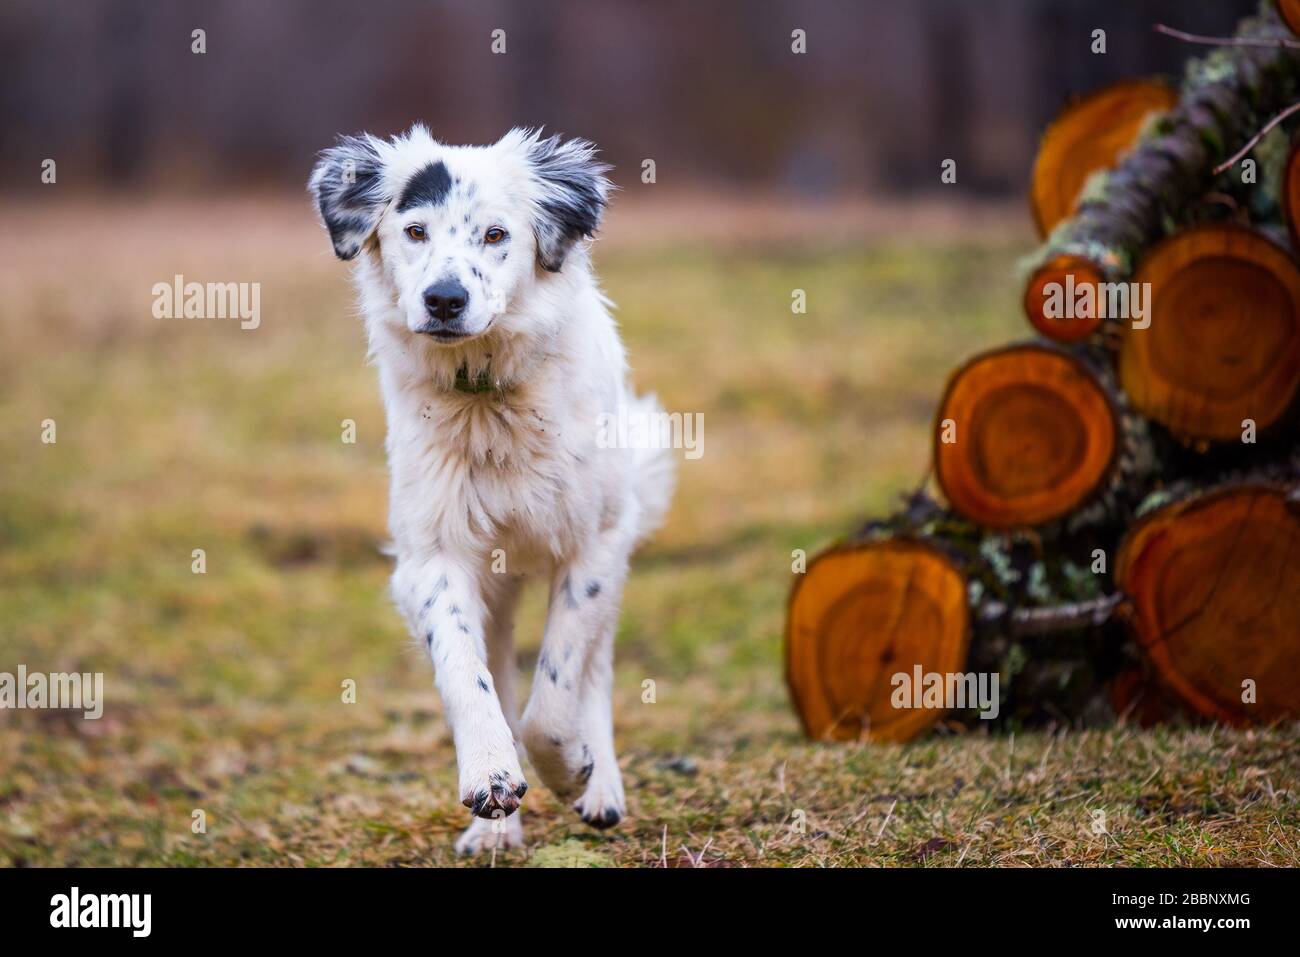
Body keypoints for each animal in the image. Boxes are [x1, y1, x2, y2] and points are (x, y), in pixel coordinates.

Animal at [310, 125, 676, 852]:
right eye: (415, 230)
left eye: (496, 234)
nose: (444, 299)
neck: (487, 399)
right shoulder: (432, 553)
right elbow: (466, 672)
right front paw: (491, 777)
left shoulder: (594, 543)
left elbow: (557, 693)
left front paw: (571, 769)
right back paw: (496, 827)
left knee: (593, 669)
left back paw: (600, 787)